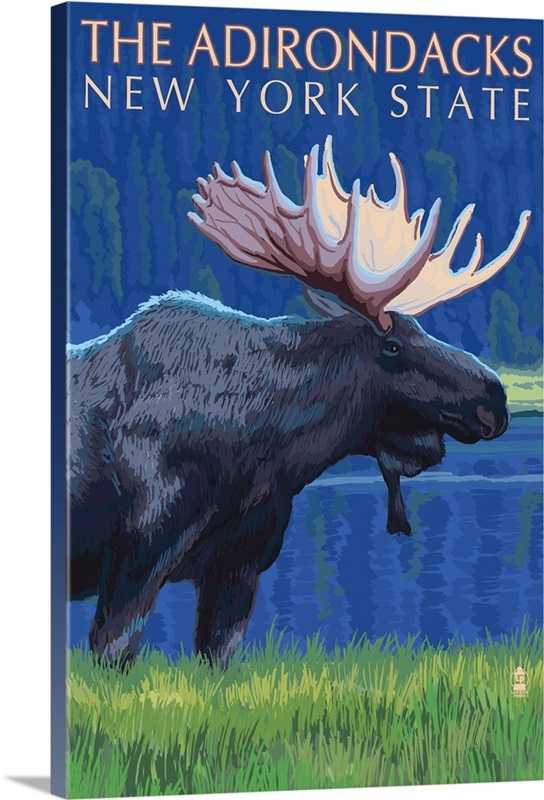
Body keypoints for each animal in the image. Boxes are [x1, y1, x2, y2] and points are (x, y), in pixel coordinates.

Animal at [69, 135, 530, 668]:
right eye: (392, 346)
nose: (494, 399)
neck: (264, 446)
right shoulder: (137, 553)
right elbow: (112, 650)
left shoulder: (240, 564)